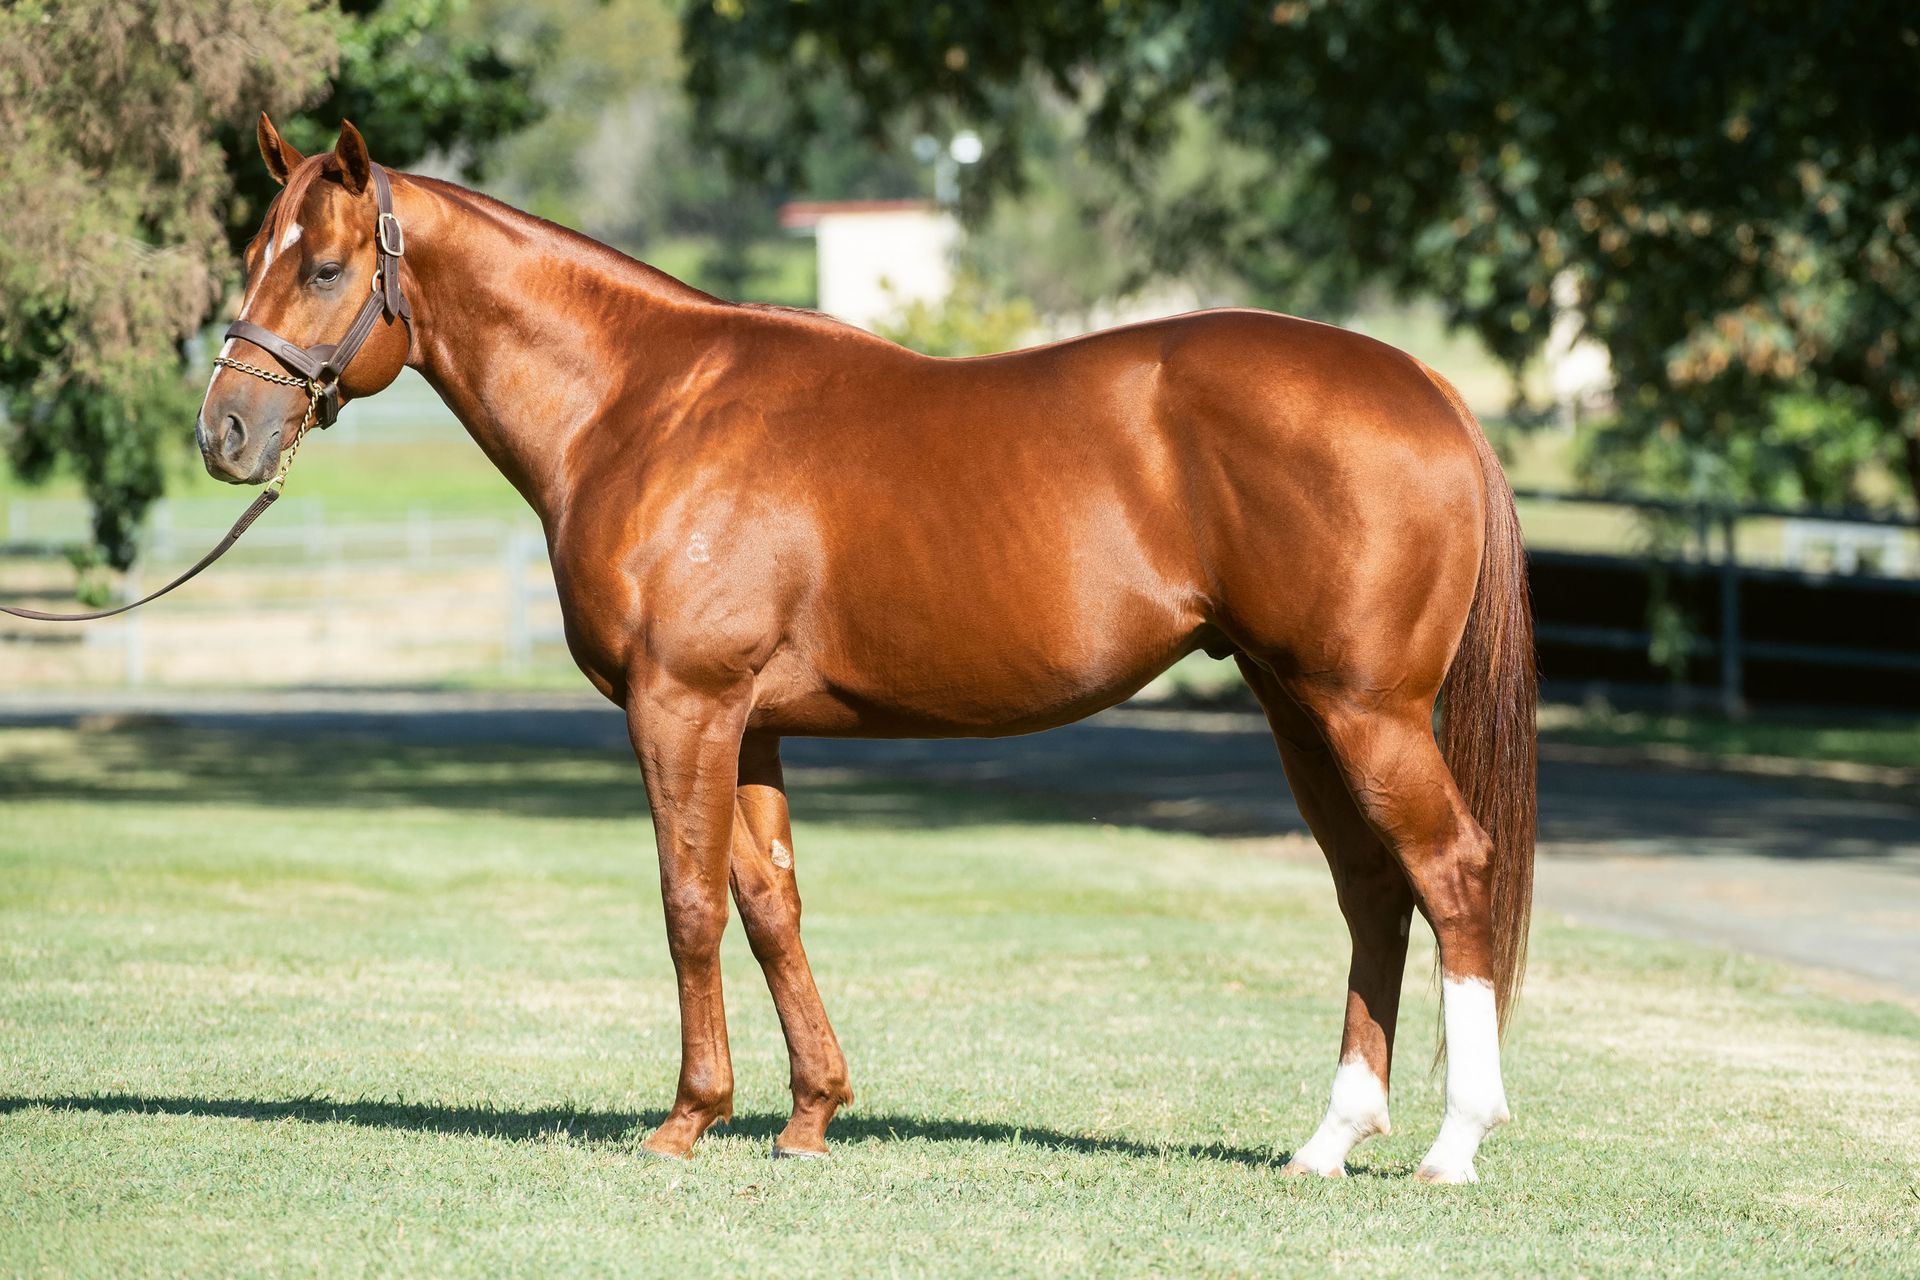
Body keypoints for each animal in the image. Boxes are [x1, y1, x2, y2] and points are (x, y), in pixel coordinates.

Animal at [198, 116, 1536, 1184]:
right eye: (252, 257)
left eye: (324, 266)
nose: (227, 430)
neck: (645, 404)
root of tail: (1426, 386)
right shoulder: (751, 724)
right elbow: (770, 903)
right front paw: (809, 1116)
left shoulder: (680, 705)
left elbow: (689, 901)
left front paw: (689, 1119)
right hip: (1296, 703)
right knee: (1373, 890)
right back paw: (1329, 1139)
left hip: (1366, 708)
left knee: (1451, 870)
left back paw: (1454, 1143)